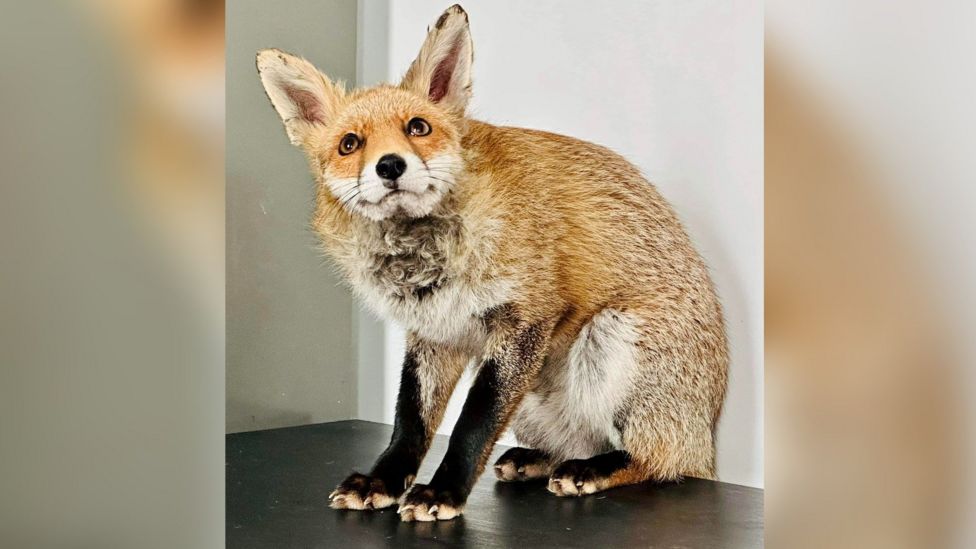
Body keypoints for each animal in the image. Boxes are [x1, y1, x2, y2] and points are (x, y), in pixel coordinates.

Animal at [256, 4, 727, 523]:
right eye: (349, 144)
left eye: (417, 127)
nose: (390, 165)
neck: (424, 260)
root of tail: (708, 432)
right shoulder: (434, 334)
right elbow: (409, 420)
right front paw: (382, 481)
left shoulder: (524, 322)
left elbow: (472, 423)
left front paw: (443, 492)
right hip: (536, 399)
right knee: (578, 442)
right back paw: (541, 459)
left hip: (609, 340)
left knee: (661, 460)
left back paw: (594, 469)